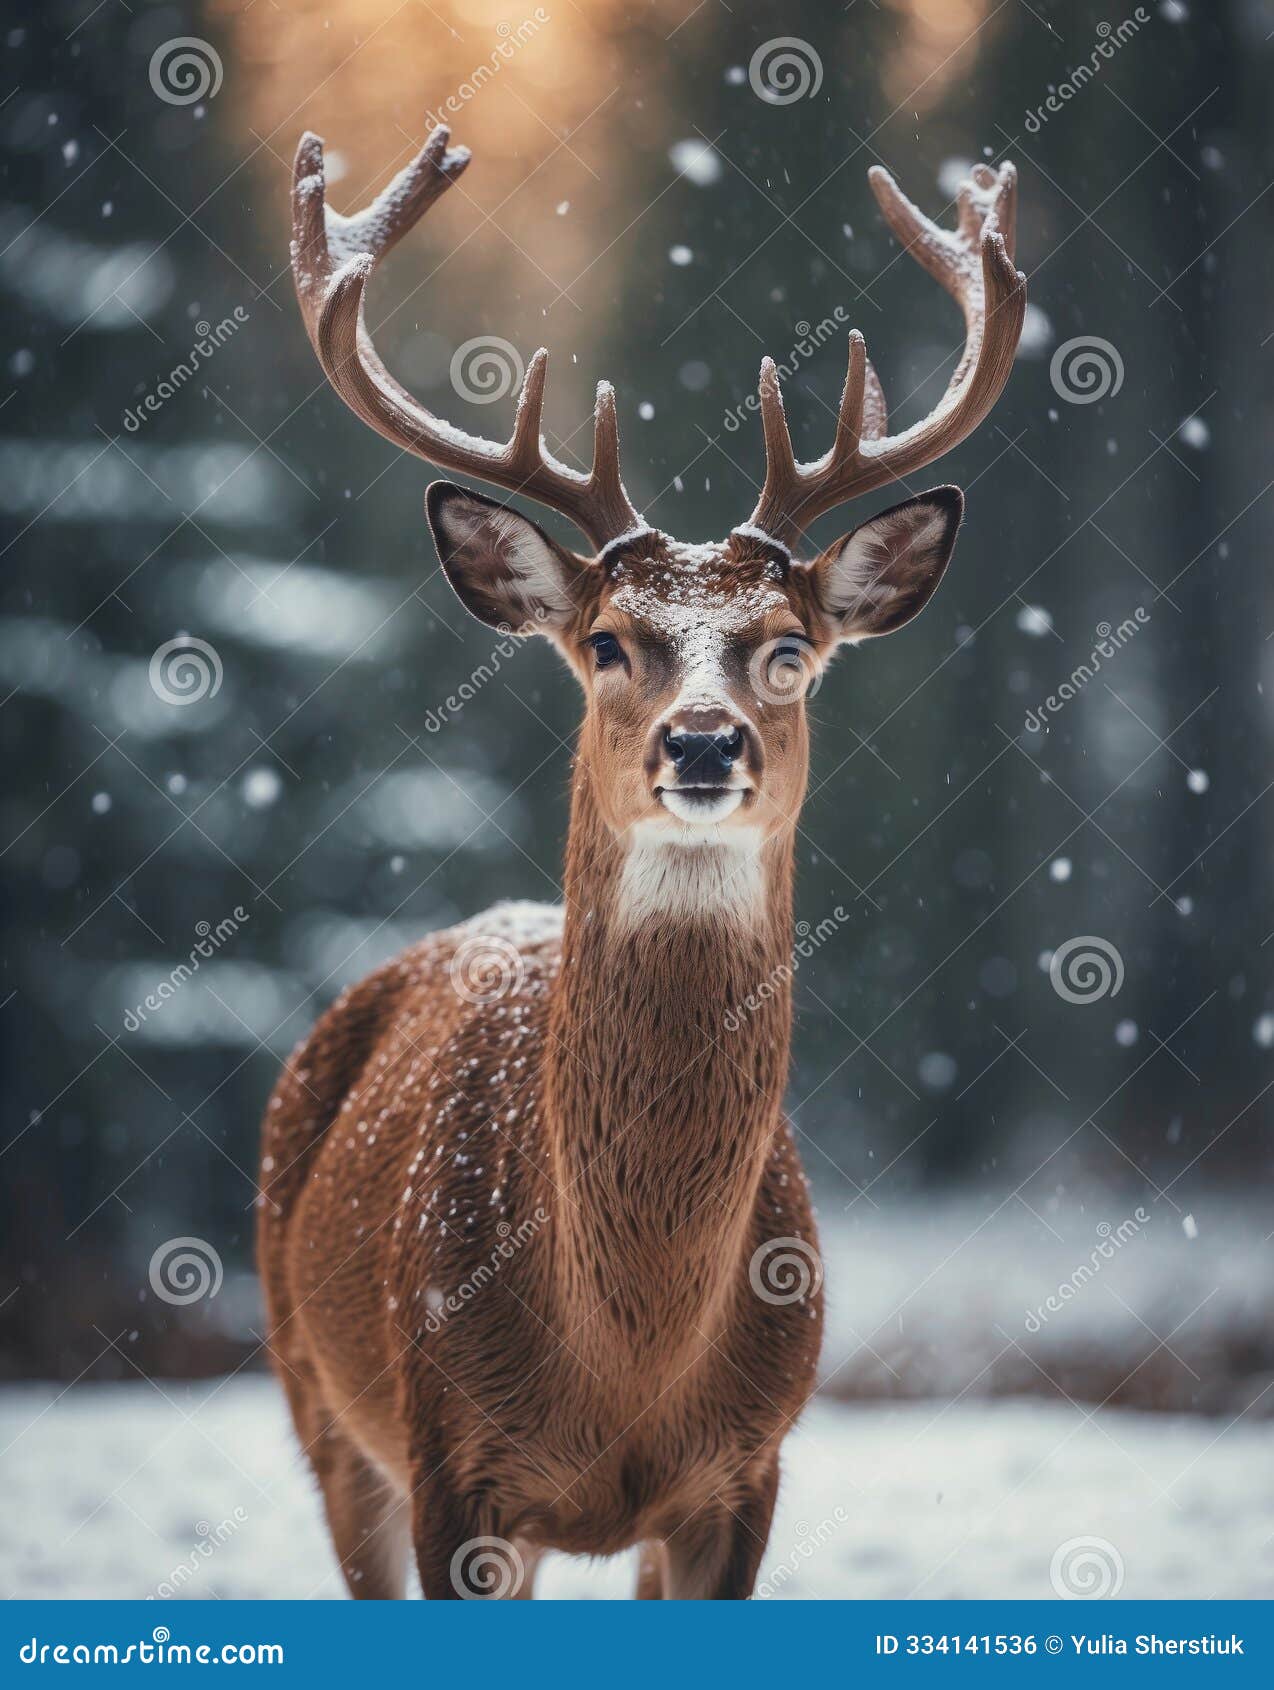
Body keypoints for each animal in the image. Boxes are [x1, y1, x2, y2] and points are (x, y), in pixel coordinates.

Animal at [258, 114, 1025, 1600]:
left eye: (789, 648)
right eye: (608, 640)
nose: (706, 741)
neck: (623, 1358)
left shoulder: (745, 1469)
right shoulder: (452, 1460)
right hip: (316, 1397)